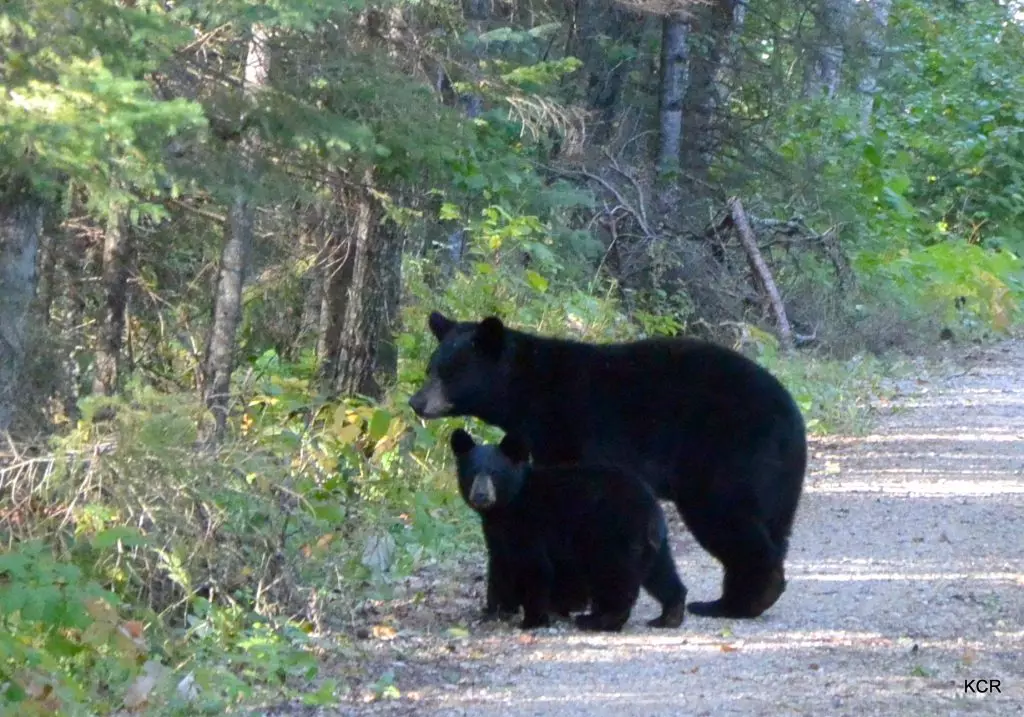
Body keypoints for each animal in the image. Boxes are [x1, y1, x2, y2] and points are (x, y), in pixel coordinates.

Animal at [450, 428, 684, 630]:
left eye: (495, 473)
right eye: (472, 473)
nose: (481, 495)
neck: (508, 505)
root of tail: (650, 507)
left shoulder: (530, 524)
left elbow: (534, 565)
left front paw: (532, 619)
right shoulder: (498, 532)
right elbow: (500, 564)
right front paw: (495, 610)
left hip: (611, 533)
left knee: (613, 574)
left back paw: (599, 620)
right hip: (650, 542)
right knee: (661, 571)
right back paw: (670, 615)